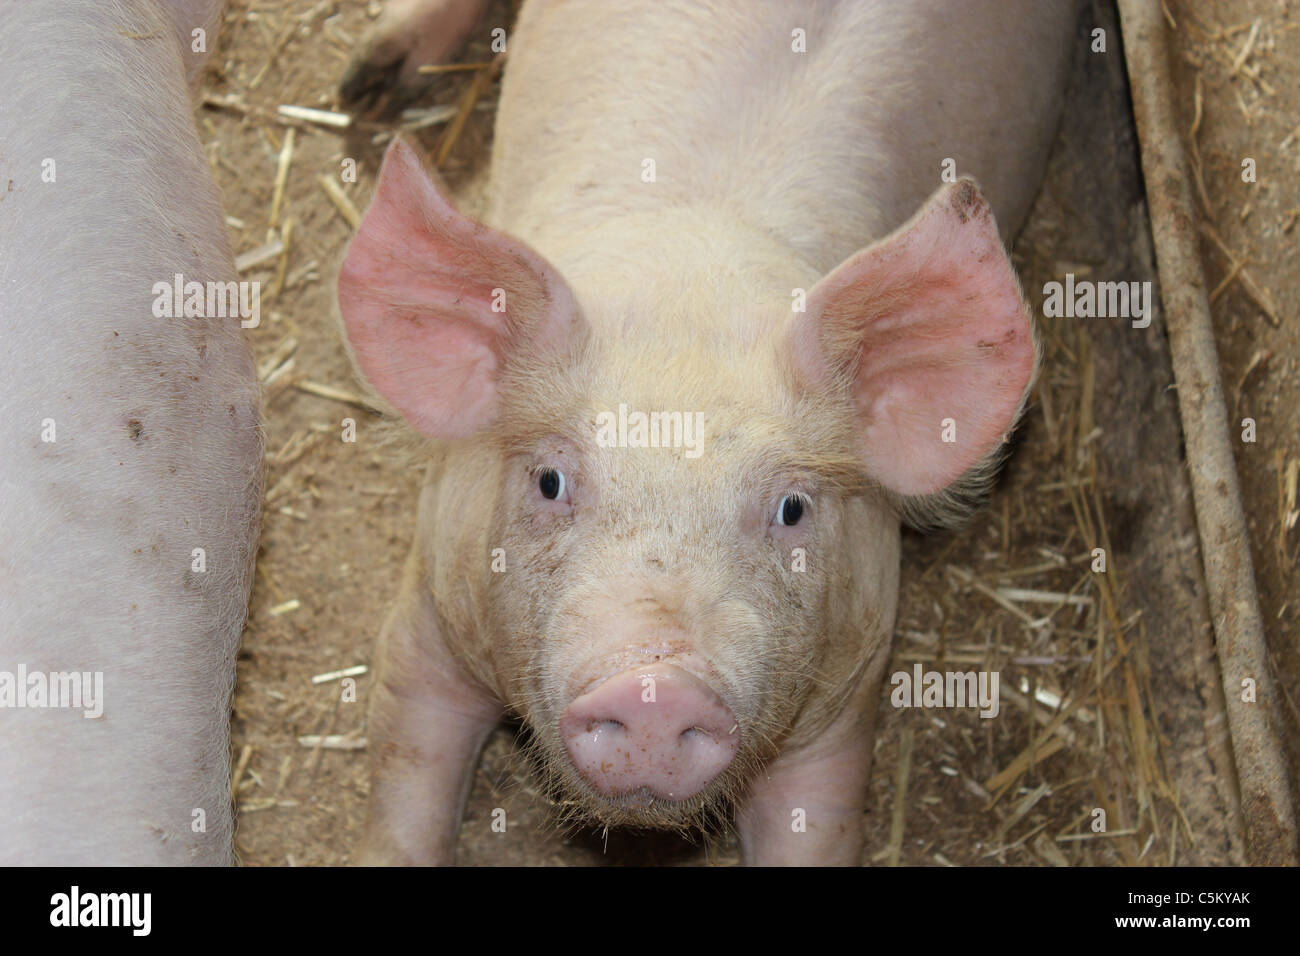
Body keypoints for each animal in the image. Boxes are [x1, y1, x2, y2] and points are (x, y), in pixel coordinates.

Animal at [339, 0, 1078, 865]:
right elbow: (405, 770)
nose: (657, 690)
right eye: (549, 480)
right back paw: (368, 80)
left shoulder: (845, 697)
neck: (688, 279)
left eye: (793, 508)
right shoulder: (428, 609)